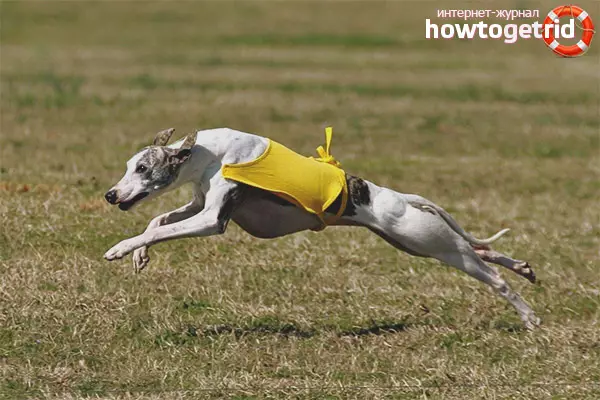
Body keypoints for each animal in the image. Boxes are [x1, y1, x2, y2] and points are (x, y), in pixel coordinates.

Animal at [103, 127, 540, 328]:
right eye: (128, 166)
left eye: (142, 168)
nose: (110, 194)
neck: (208, 153)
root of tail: (399, 196)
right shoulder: (198, 204)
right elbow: (158, 220)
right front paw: (140, 255)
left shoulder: (214, 219)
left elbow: (157, 227)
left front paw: (122, 248)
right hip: (413, 243)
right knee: (483, 250)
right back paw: (523, 267)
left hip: (432, 244)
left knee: (491, 276)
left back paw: (528, 315)